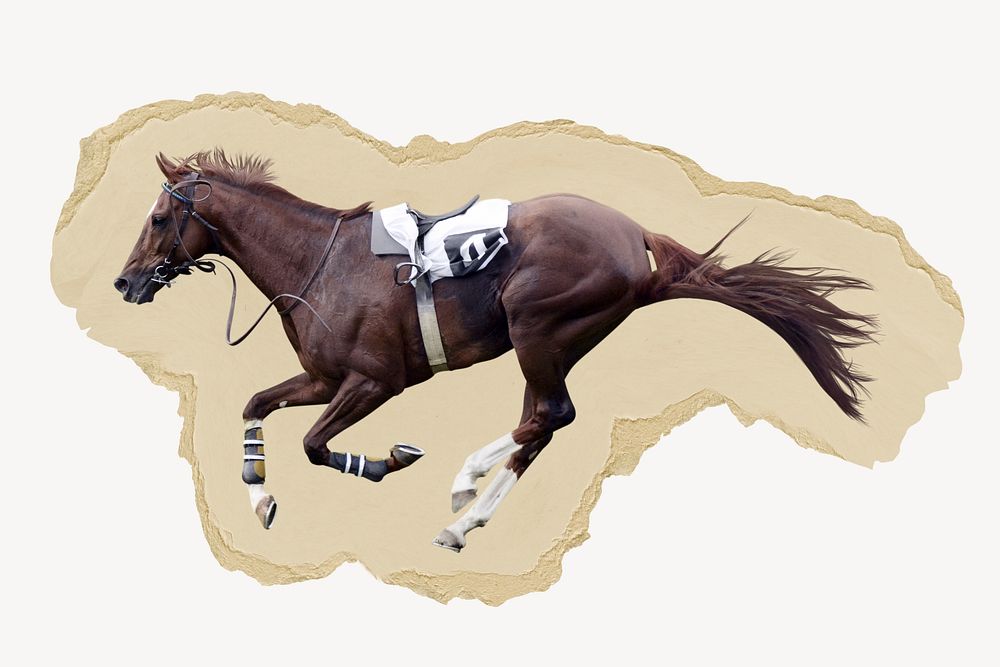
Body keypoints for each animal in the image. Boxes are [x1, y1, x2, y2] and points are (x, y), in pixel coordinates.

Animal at [114, 149, 876, 552]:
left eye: (159, 217)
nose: (124, 281)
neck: (318, 263)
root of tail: (637, 236)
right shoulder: (324, 377)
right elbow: (255, 404)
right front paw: (261, 495)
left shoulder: (374, 380)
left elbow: (313, 443)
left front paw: (387, 460)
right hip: (550, 338)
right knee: (542, 422)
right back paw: (465, 513)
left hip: (538, 327)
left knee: (547, 416)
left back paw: (465, 488)